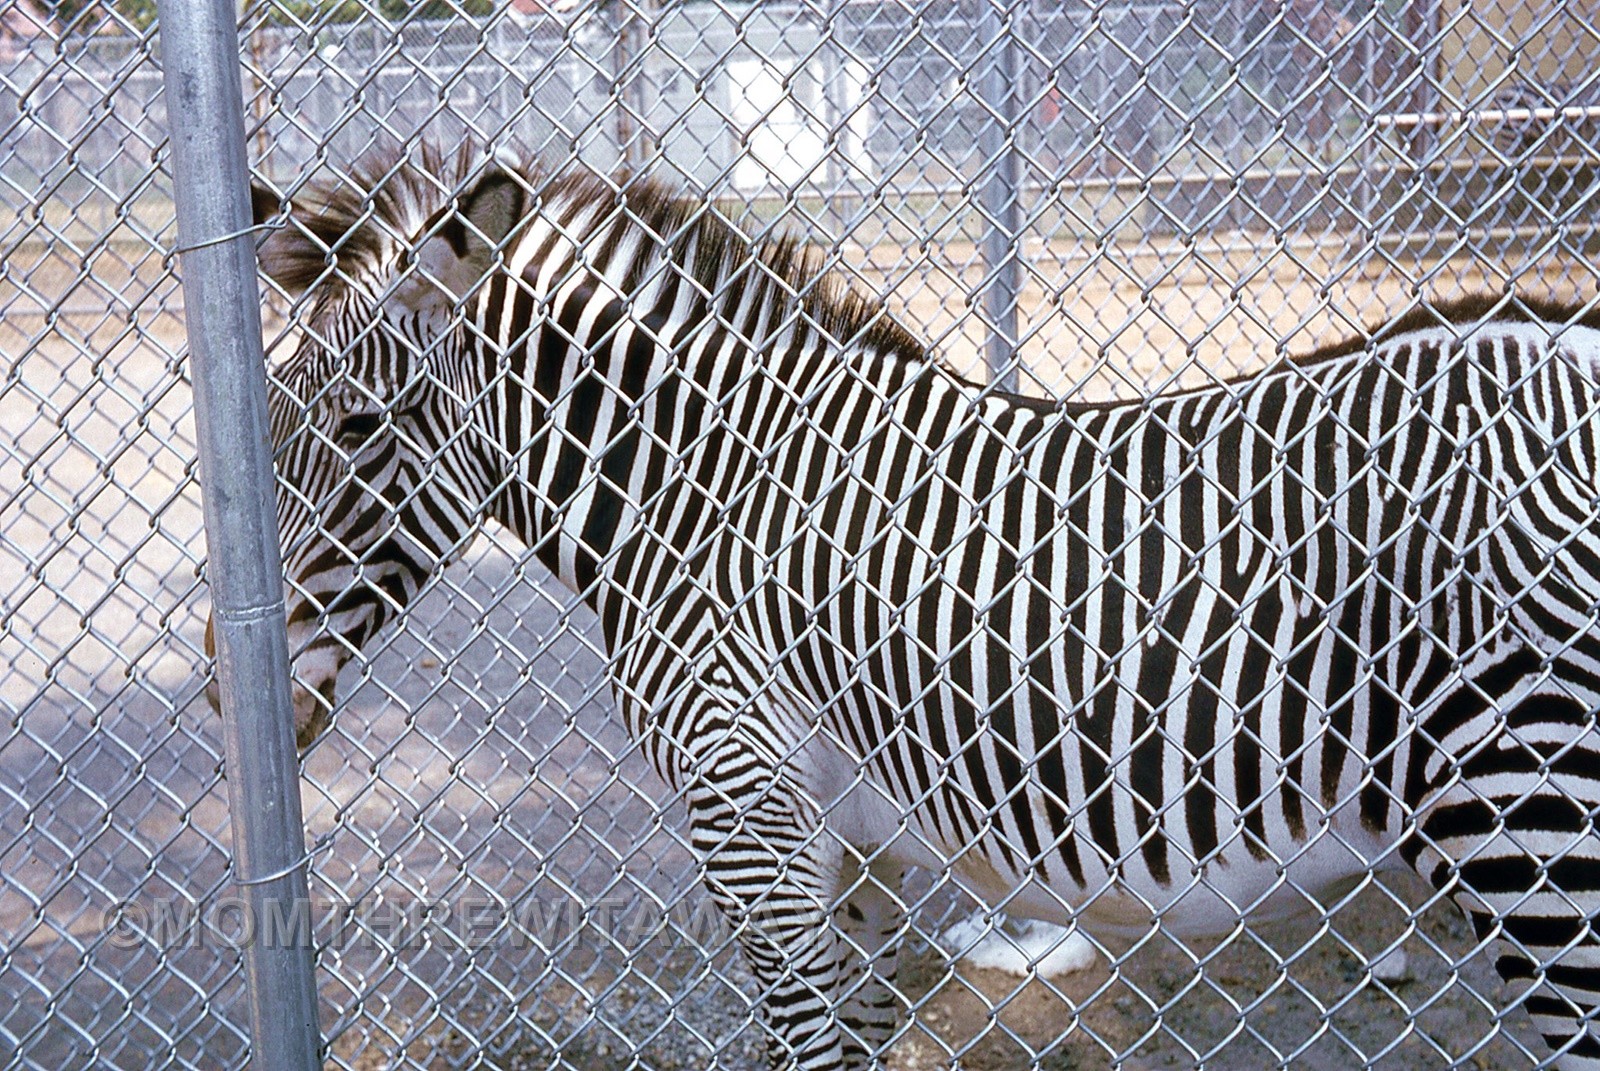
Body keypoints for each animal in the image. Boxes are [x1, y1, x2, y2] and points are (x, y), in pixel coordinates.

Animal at [214, 142, 1600, 1069]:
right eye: (264, 423)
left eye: (356, 428)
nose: (257, 716)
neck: (706, 491)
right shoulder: (852, 841)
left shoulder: (747, 814)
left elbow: (805, 1043)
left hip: (1537, 823)